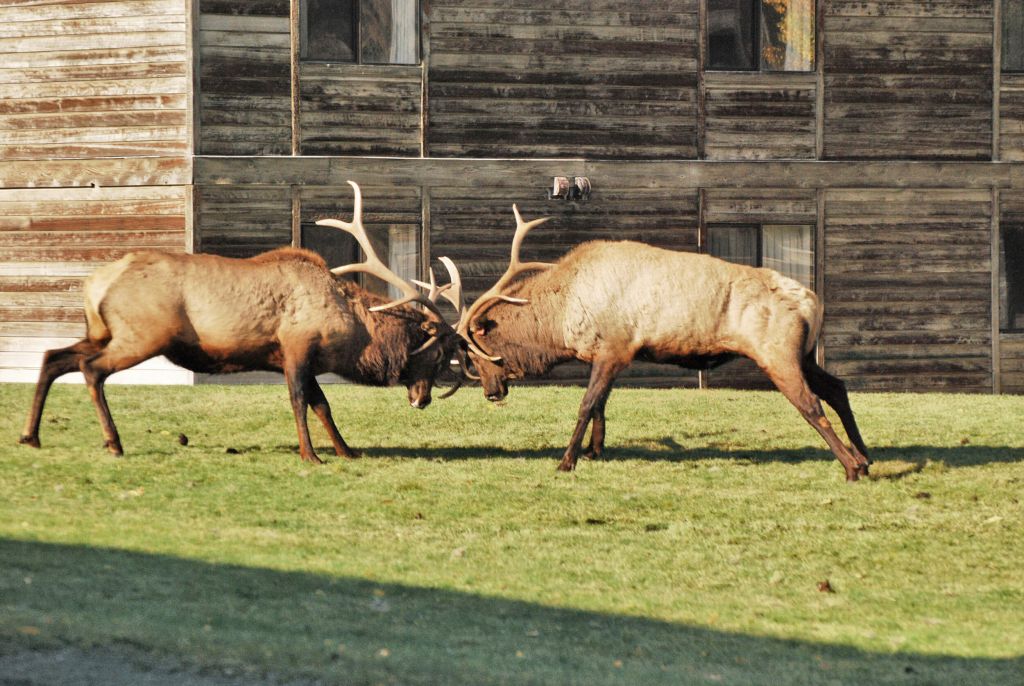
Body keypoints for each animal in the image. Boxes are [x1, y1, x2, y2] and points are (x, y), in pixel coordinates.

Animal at [18, 181, 468, 464]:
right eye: (436, 353)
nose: (423, 400)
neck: (353, 332)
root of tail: (94, 284)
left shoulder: (301, 358)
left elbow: (323, 404)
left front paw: (346, 450)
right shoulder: (296, 346)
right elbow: (301, 401)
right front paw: (311, 455)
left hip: (102, 332)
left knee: (54, 356)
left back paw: (31, 436)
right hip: (142, 335)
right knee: (90, 368)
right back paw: (112, 443)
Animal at [448, 206, 871, 482]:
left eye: (479, 353)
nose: (490, 392)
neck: (562, 320)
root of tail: (813, 302)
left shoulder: (615, 348)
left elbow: (586, 405)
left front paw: (567, 460)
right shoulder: (607, 355)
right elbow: (600, 406)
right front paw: (595, 451)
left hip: (777, 352)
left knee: (811, 404)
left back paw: (851, 467)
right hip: (804, 354)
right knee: (837, 387)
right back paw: (865, 457)